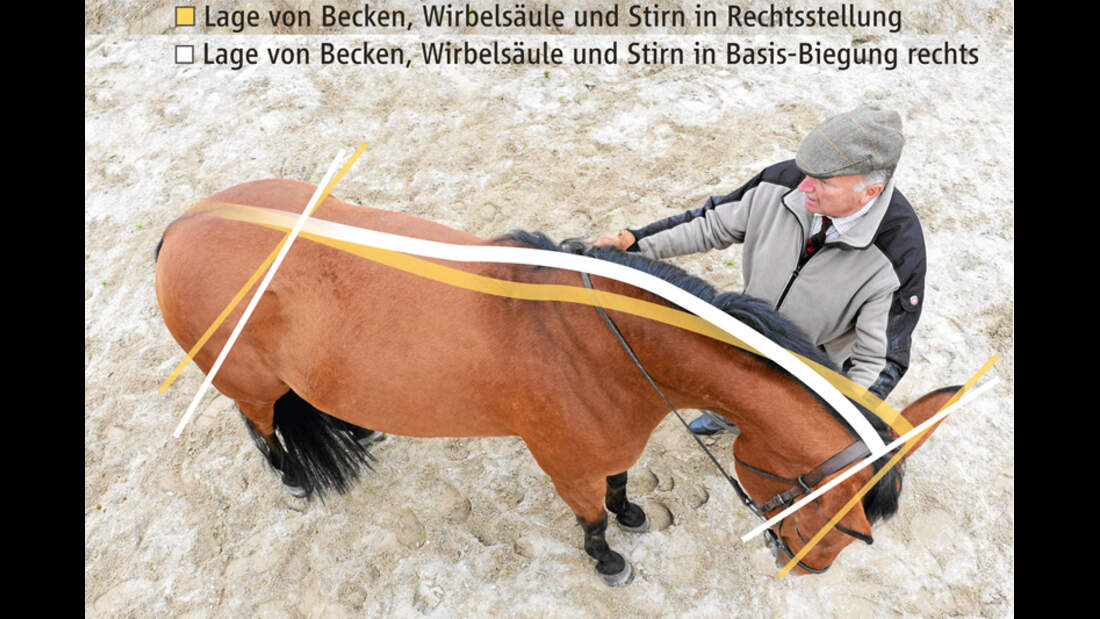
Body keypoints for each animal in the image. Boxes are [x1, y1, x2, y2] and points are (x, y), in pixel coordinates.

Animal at [154, 178, 961, 585]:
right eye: (835, 512)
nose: (807, 567)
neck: (601, 347)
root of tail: (185, 224)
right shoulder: (566, 462)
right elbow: (590, 515)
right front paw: (609, 560)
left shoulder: (616, 441)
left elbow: (620, 485)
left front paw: (633, 514)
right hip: (247, 382)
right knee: (261, 423)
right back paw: (290, 477)